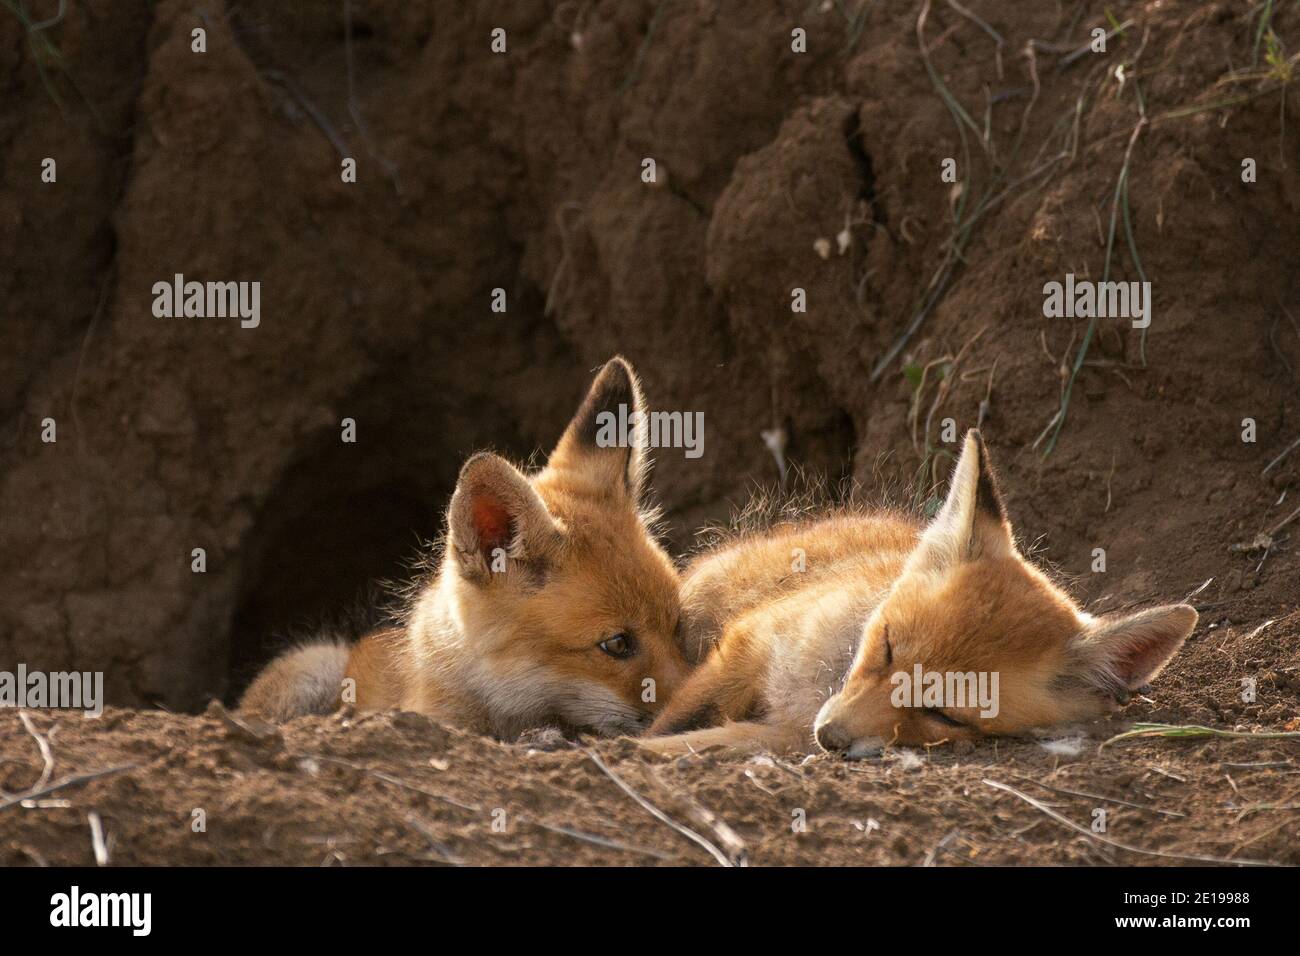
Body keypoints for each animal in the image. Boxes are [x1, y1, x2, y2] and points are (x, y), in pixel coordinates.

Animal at [641, 429, 1197, 757]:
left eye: (943, 715)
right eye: (887, 645)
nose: (832, 737)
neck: (815, 684)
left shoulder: (784, 733)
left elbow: (689, 744)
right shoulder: (745, 646)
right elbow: (665, 723)